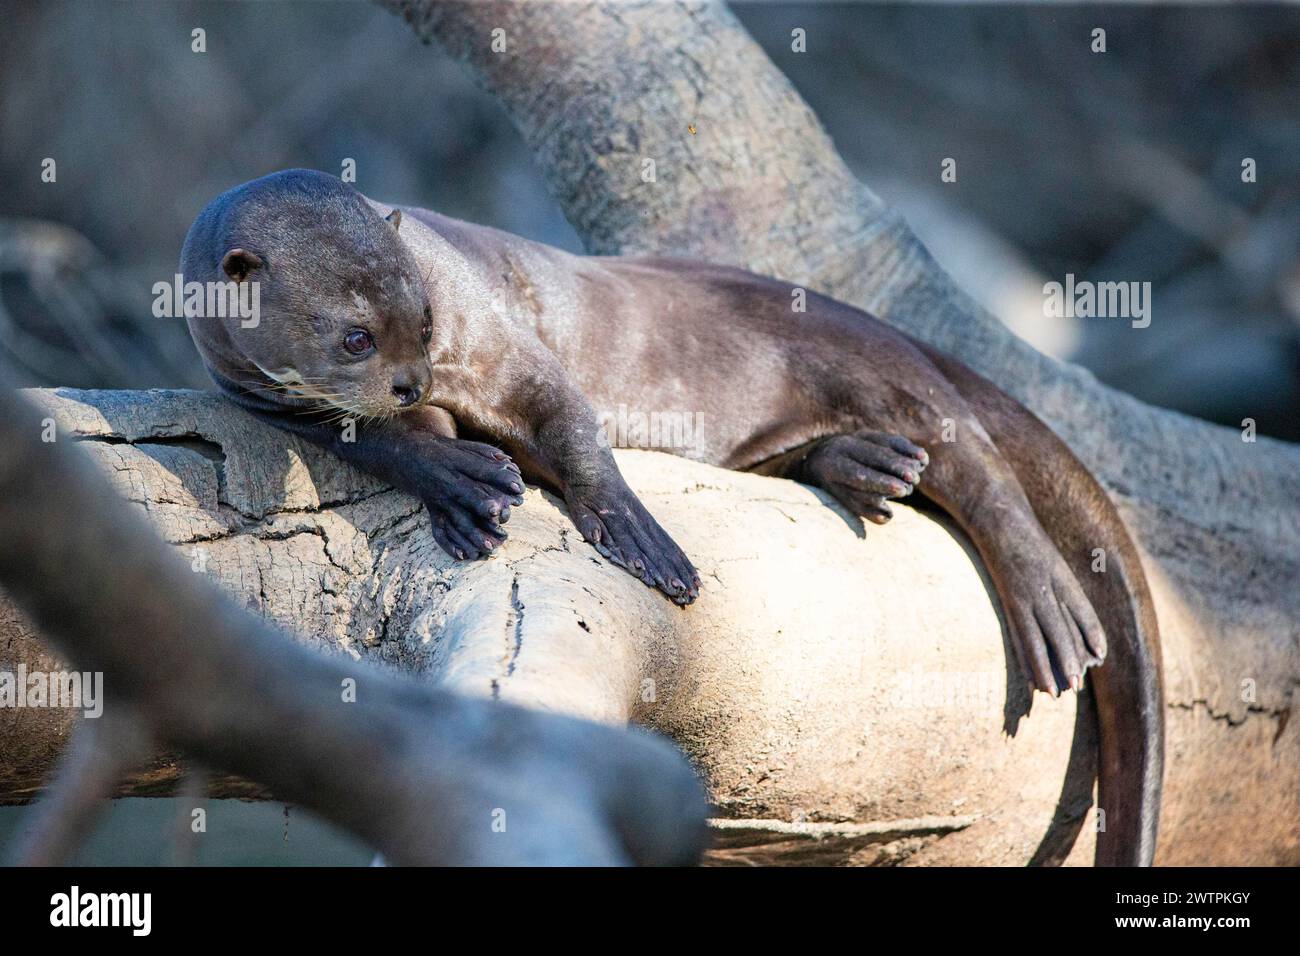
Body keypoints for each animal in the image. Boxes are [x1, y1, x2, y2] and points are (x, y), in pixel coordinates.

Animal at [181, 169, 1162, 866]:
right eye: (355, 337)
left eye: (421, 315)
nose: (412, 378)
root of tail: (882, 324)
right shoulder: (266, 396)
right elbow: (387, 441)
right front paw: (459, 486)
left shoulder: (496, 333)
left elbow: (566, 419)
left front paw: (641, 540)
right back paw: (867, 468)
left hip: (874, 364)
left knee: (984, 470)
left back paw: (1050, 609)